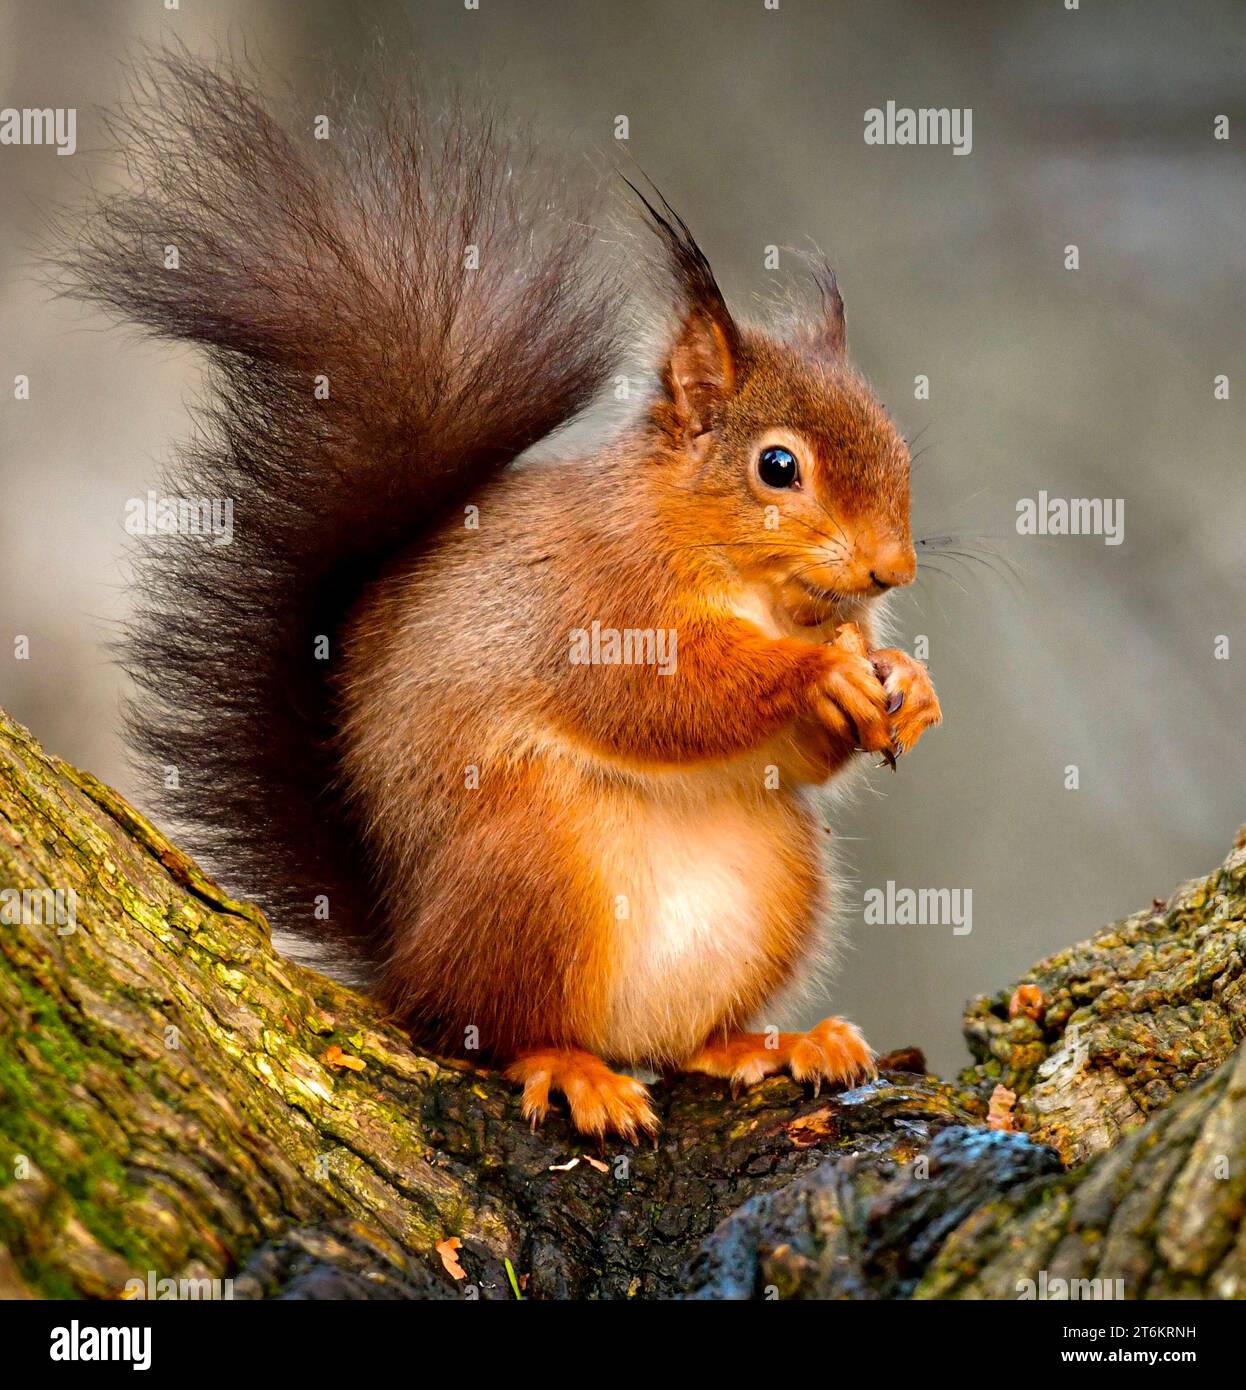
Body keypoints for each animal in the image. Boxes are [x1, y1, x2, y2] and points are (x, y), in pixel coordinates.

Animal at [63, 52, 941, 1141]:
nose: (892, 570)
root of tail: (405, 953)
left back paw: (767, 1044)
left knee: (682, 1041)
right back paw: (572, 1067)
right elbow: (664, 698)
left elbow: (803, 755)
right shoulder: (592, 602)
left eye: (898, 445)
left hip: (777, 882)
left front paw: (907, 681)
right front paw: (821, 671)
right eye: (777, 466)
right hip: (535, 869)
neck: (757, 591)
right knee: (490, 1026)